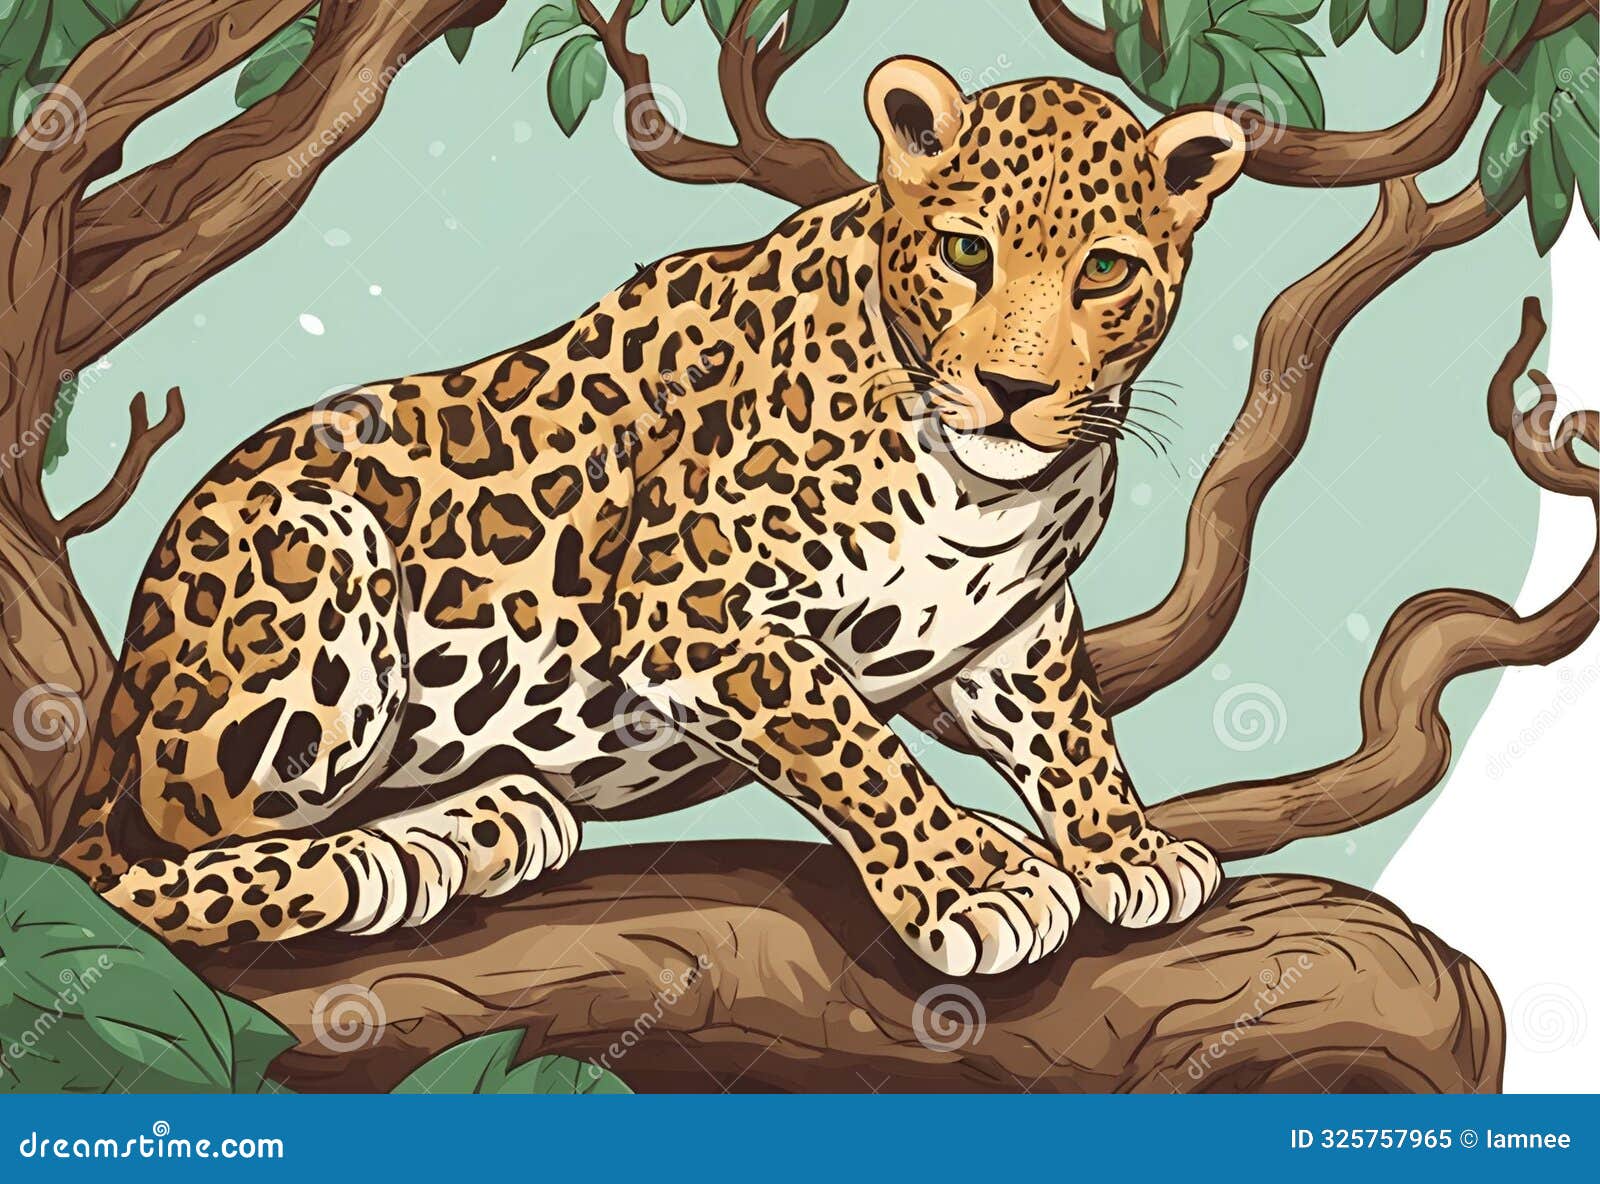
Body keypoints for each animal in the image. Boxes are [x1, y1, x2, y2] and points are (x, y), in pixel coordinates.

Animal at [63, 57, 1247, 977]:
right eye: (967, 252)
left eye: (1106, 269)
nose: (1011, 389)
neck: (988, 490)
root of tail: (126, 685)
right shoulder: (699, 606)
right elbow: (855, 742)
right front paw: (975, 881)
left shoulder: (1012, 622)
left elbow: (1068, 727)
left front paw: (1123, 847)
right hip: (314, 551)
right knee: (134, 871)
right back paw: (384, 858)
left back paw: (479, 824)